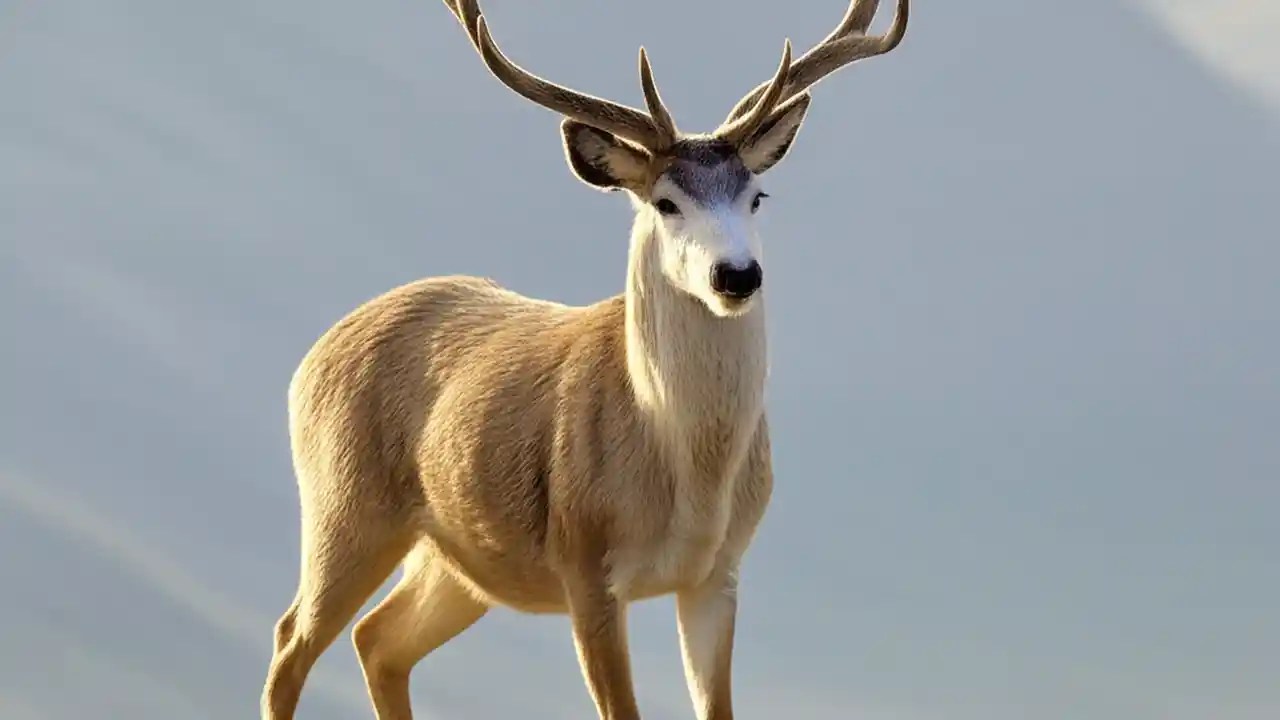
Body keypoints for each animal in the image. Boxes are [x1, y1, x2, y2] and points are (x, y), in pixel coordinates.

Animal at [260, 1, 909, 718]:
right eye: (666, 202)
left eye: (757, 197)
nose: (737, 274)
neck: (689, 480)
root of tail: (313, 355)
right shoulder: (585, 561)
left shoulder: (717, 572)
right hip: (345, 502)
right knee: (292, 641)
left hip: (460, 559)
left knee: (378, 640)